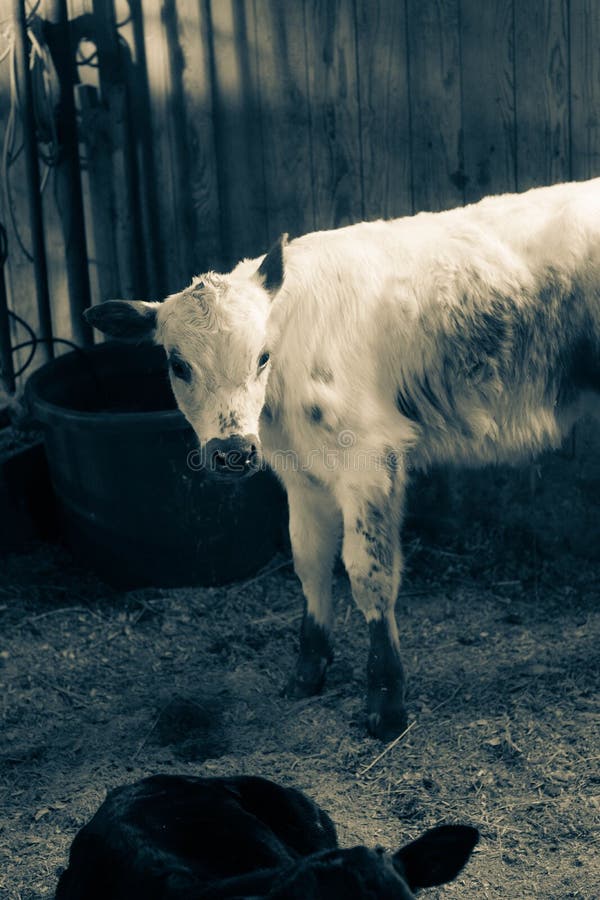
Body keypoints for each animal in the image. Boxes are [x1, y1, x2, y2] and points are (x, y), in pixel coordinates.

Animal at [85, 178, 600, 740]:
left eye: (262, 355)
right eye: (178, 365)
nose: (233, 452)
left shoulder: (371, 461)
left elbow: (368, 571)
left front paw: (386, 700)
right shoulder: (299, 473)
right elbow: (310, 560)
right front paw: (308, 670)